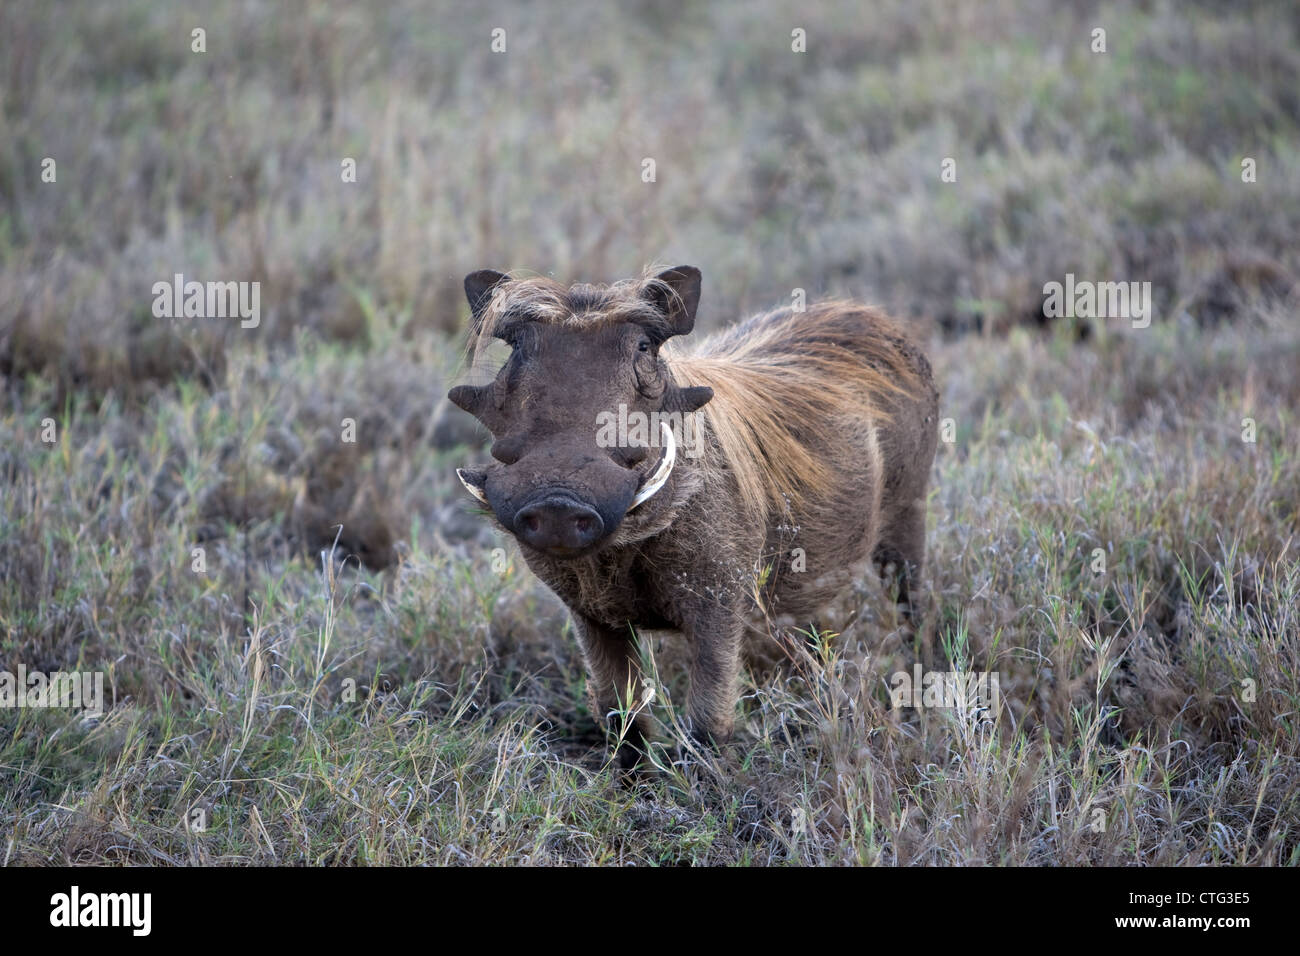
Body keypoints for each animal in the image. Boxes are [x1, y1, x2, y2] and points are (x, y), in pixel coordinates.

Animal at [448, 266, 938, 765]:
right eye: (517, 349)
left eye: (644, 347)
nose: (558, 504)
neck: (625, 546)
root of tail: (875, 318)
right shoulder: (589, 615)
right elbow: (620, 713)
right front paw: (631, 779)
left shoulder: (718, 606)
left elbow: (708, 721)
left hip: (909, 515)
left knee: (913, 608)